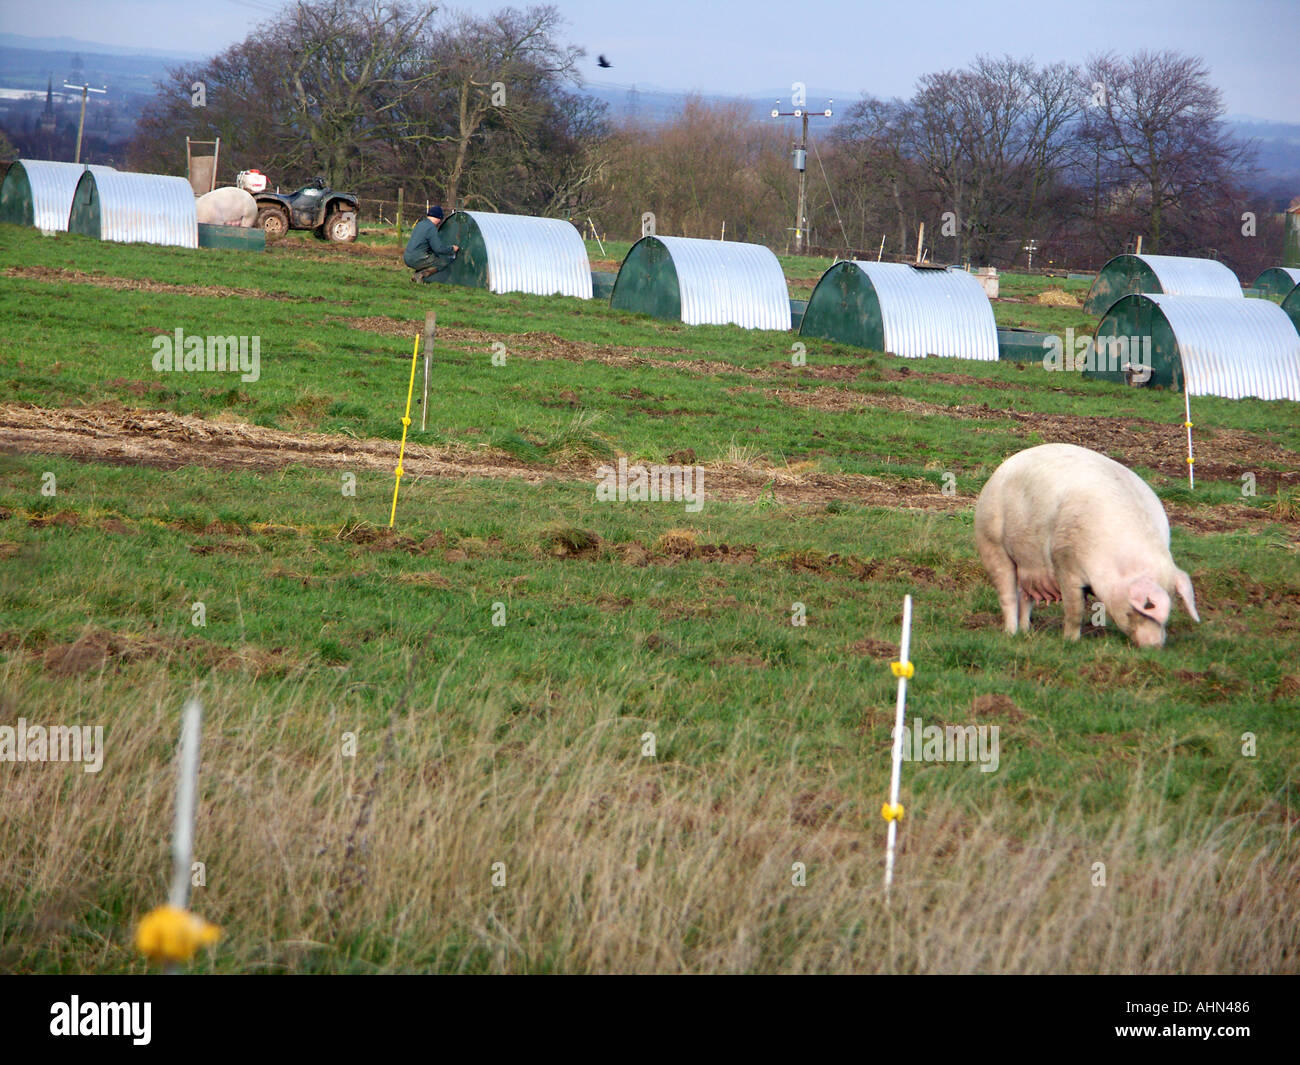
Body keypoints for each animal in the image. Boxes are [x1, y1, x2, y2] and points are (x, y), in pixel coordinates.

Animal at [974, 443, 1199, 648]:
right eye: (1146, 606)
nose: (1155, 646)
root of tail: (1000, 470)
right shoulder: (1065, 563)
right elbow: (1075, 610)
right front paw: (1070, 642)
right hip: (991, 542)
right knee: (1008, 594)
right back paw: (1010, 634)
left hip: (1026, 560)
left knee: (1025, 596)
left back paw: (1026, 633)